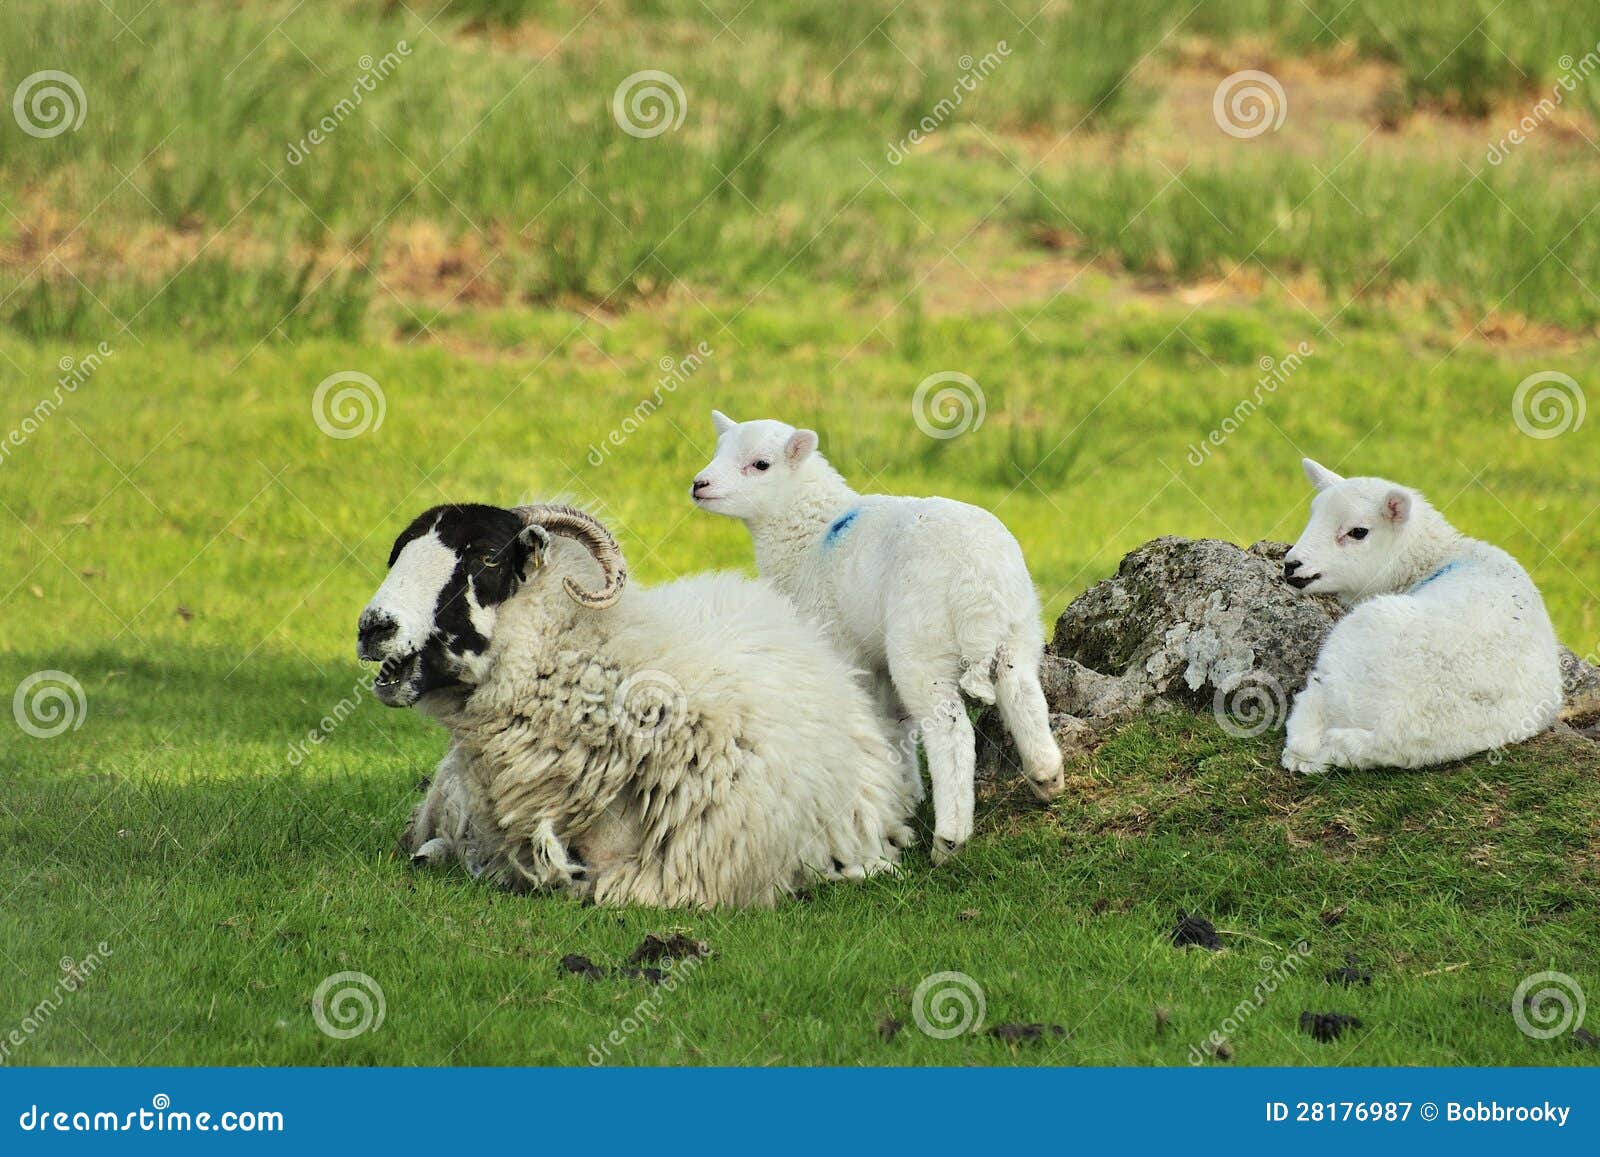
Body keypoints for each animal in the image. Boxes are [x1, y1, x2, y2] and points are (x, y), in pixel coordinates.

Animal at [690, 411, 1063, 863]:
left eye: (760, 464)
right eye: (718, 451)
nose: (699, 485)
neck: (809, 535)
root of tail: (978, 584)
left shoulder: (839, 643)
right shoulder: (876, 657)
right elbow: (896, 723)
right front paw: (906, 793)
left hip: (921, 639)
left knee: (951, 731)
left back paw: (949, 839)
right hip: (1019, 624)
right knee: (1022, 691)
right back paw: (1046, 776)